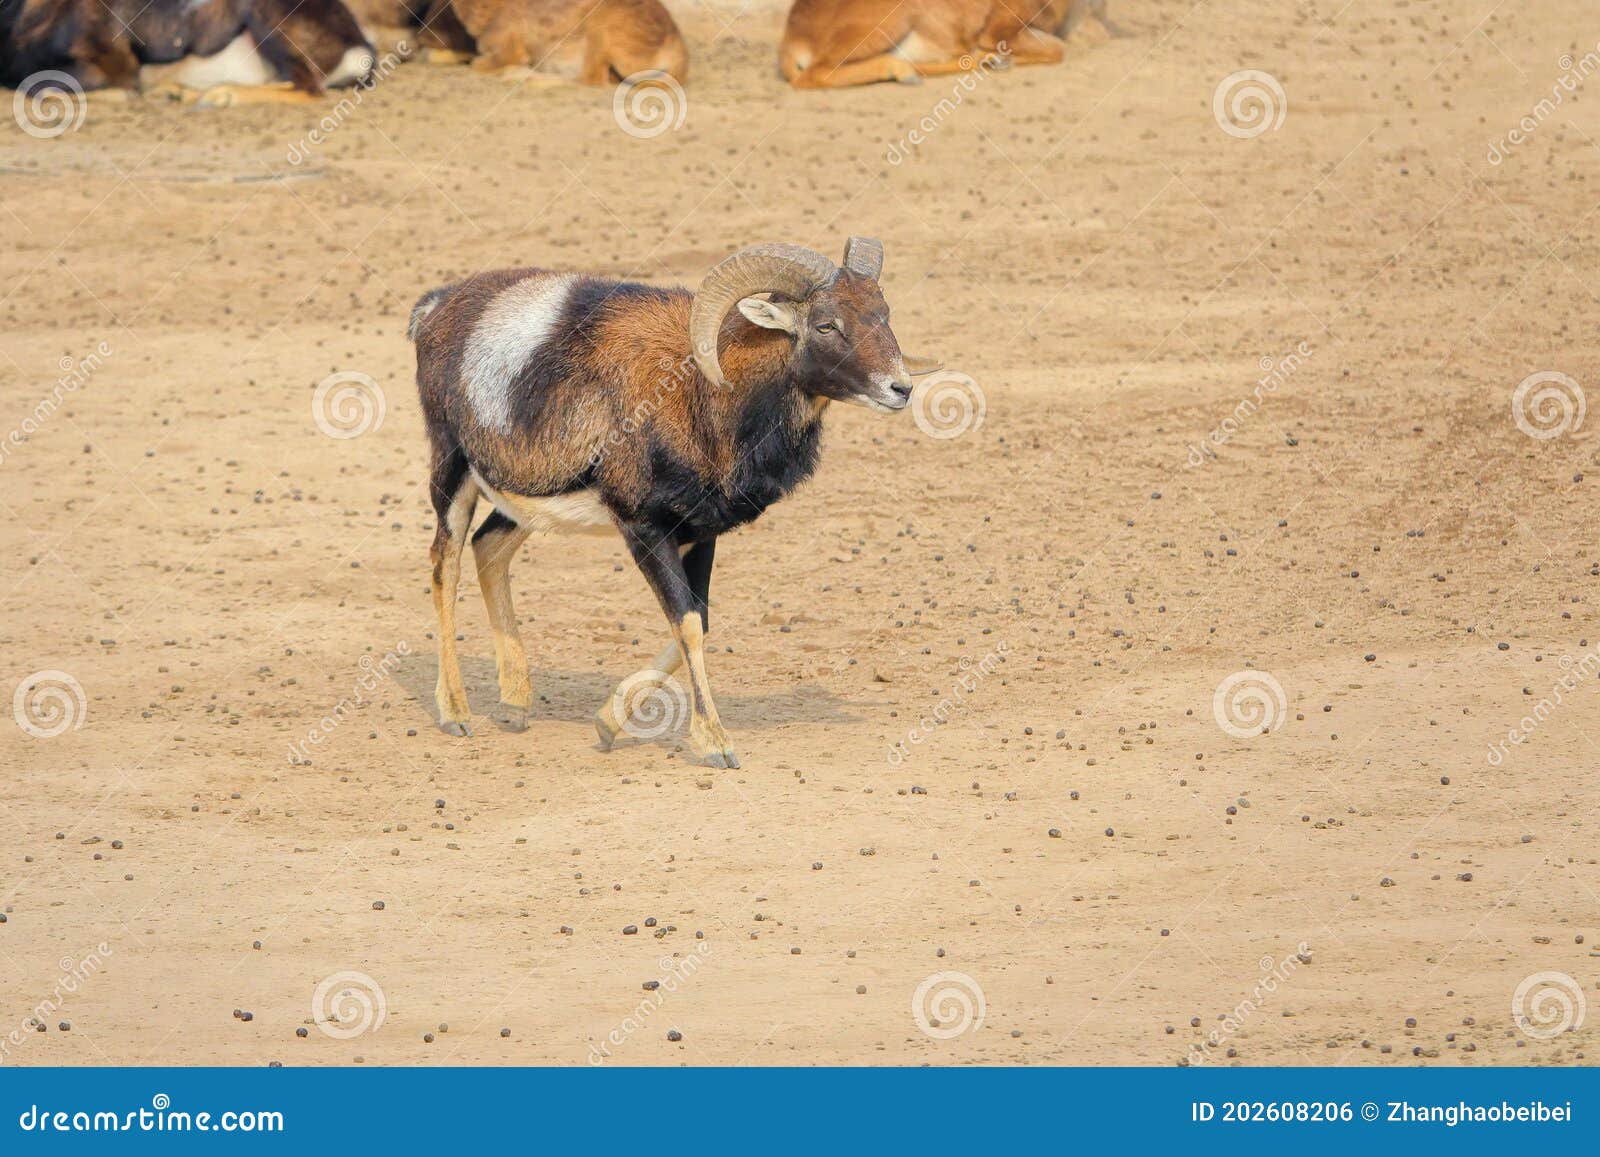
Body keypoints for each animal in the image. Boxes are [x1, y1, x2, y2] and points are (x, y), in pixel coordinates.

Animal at [408, 238, 932, 767]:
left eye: (882, 314)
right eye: (826, 325)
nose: (900, 389)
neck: (702, 396)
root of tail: (434, 309)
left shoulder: (699, 533)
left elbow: (697, 622)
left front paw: (606, 726)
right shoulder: (644, 528)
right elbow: (687, 623)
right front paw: (716, 744)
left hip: (523, 502)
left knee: (489, 549)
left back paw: (515, 706)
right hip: (453, 473)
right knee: (445, 565)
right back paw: (456, 714)